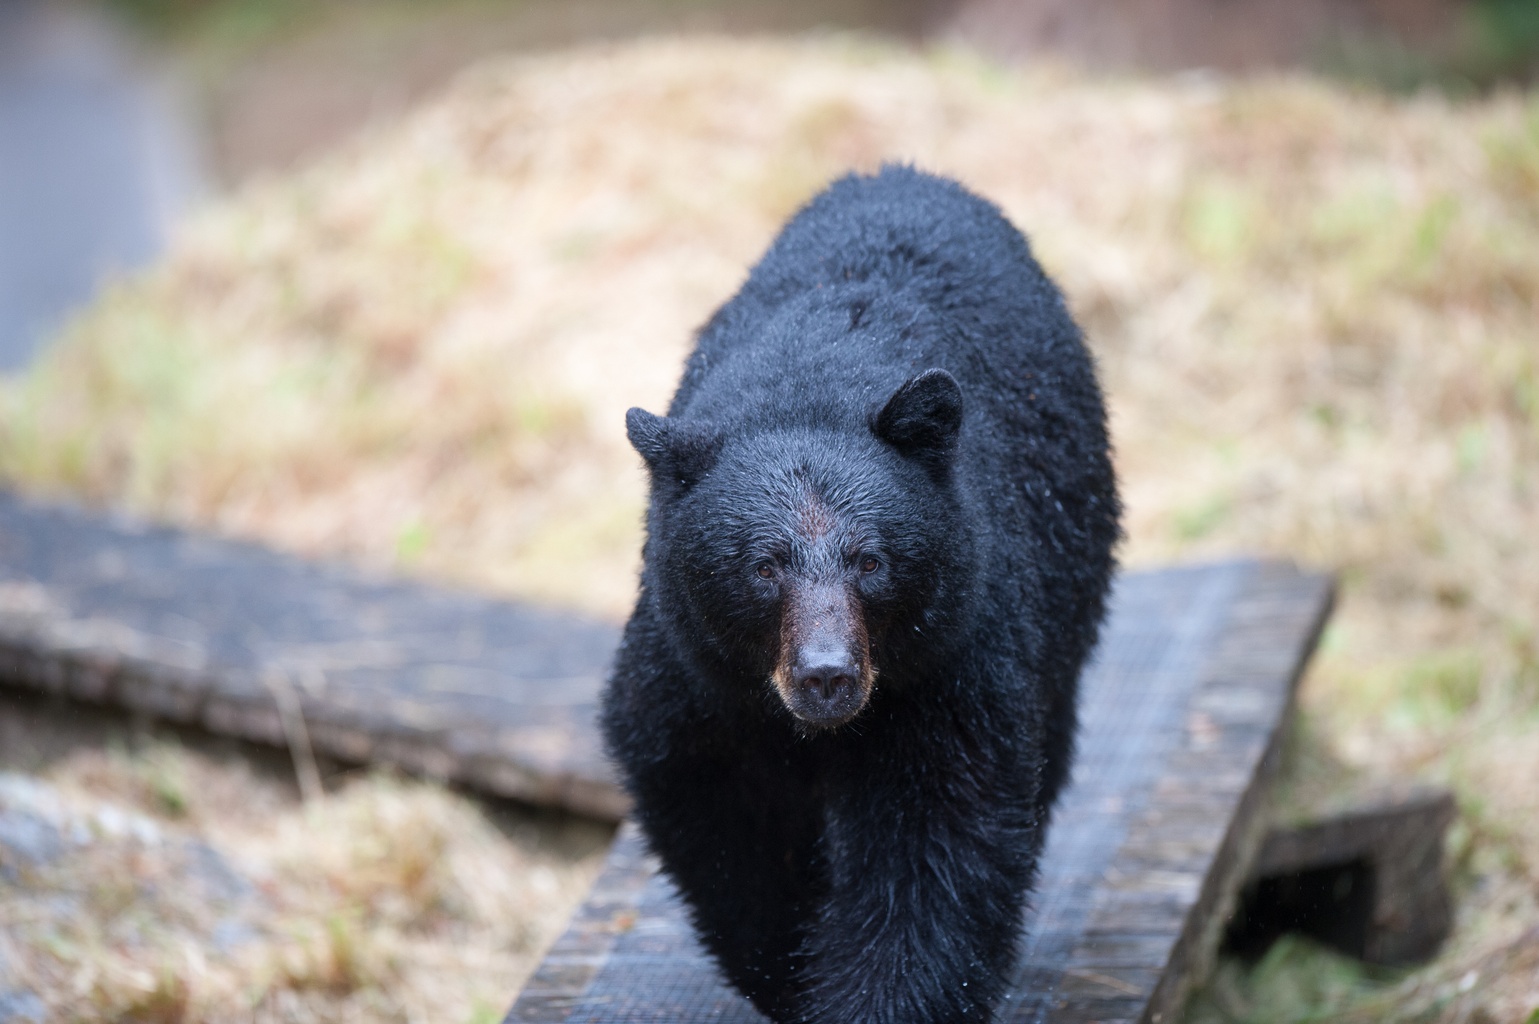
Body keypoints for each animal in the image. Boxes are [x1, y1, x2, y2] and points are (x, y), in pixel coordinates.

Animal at [601, 165, 1120, 1024]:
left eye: (871, 562)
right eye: (762, 567)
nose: (826, 674)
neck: (808, 389)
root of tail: (904, 173)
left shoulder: (949, 666)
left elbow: (932, 851)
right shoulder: (692, 675)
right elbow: (724, 823)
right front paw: (788, 971)